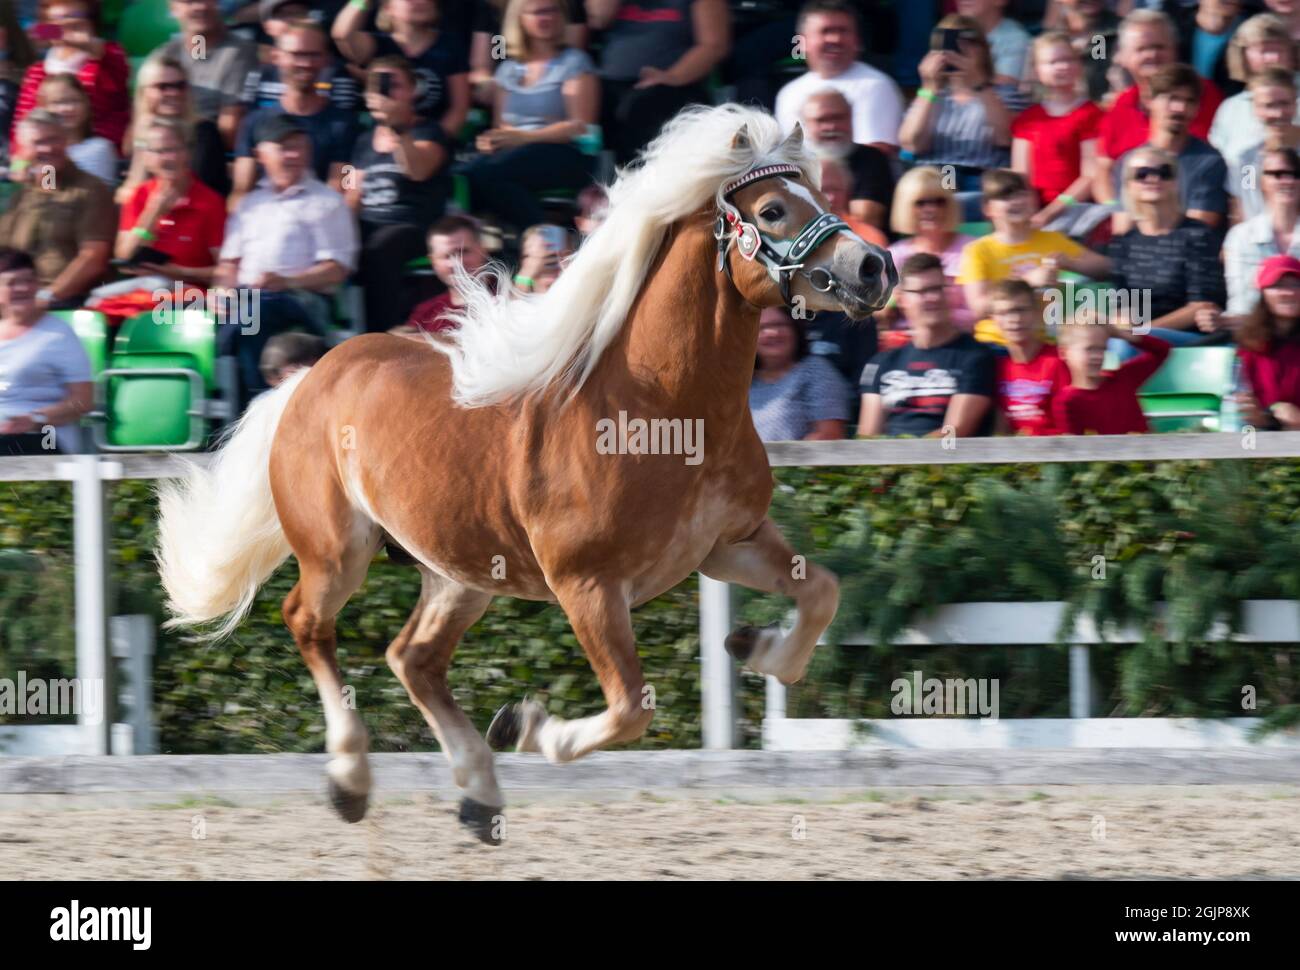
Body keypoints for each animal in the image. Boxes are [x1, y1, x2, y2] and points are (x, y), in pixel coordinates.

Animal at [155, 103, 896, 844]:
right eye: (772, 209)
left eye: (821, 194)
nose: (874, 266)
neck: (665, 410)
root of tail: (308, 379)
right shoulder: (588, 585)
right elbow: (632, 708)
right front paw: (531, 726)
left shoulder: (724, 545)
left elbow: (822, 592)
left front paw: (754, 645)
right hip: (339, 554)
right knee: (308, 622)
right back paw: (351, 781)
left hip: (459, 572)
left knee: (412, 657)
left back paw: (480, 796)